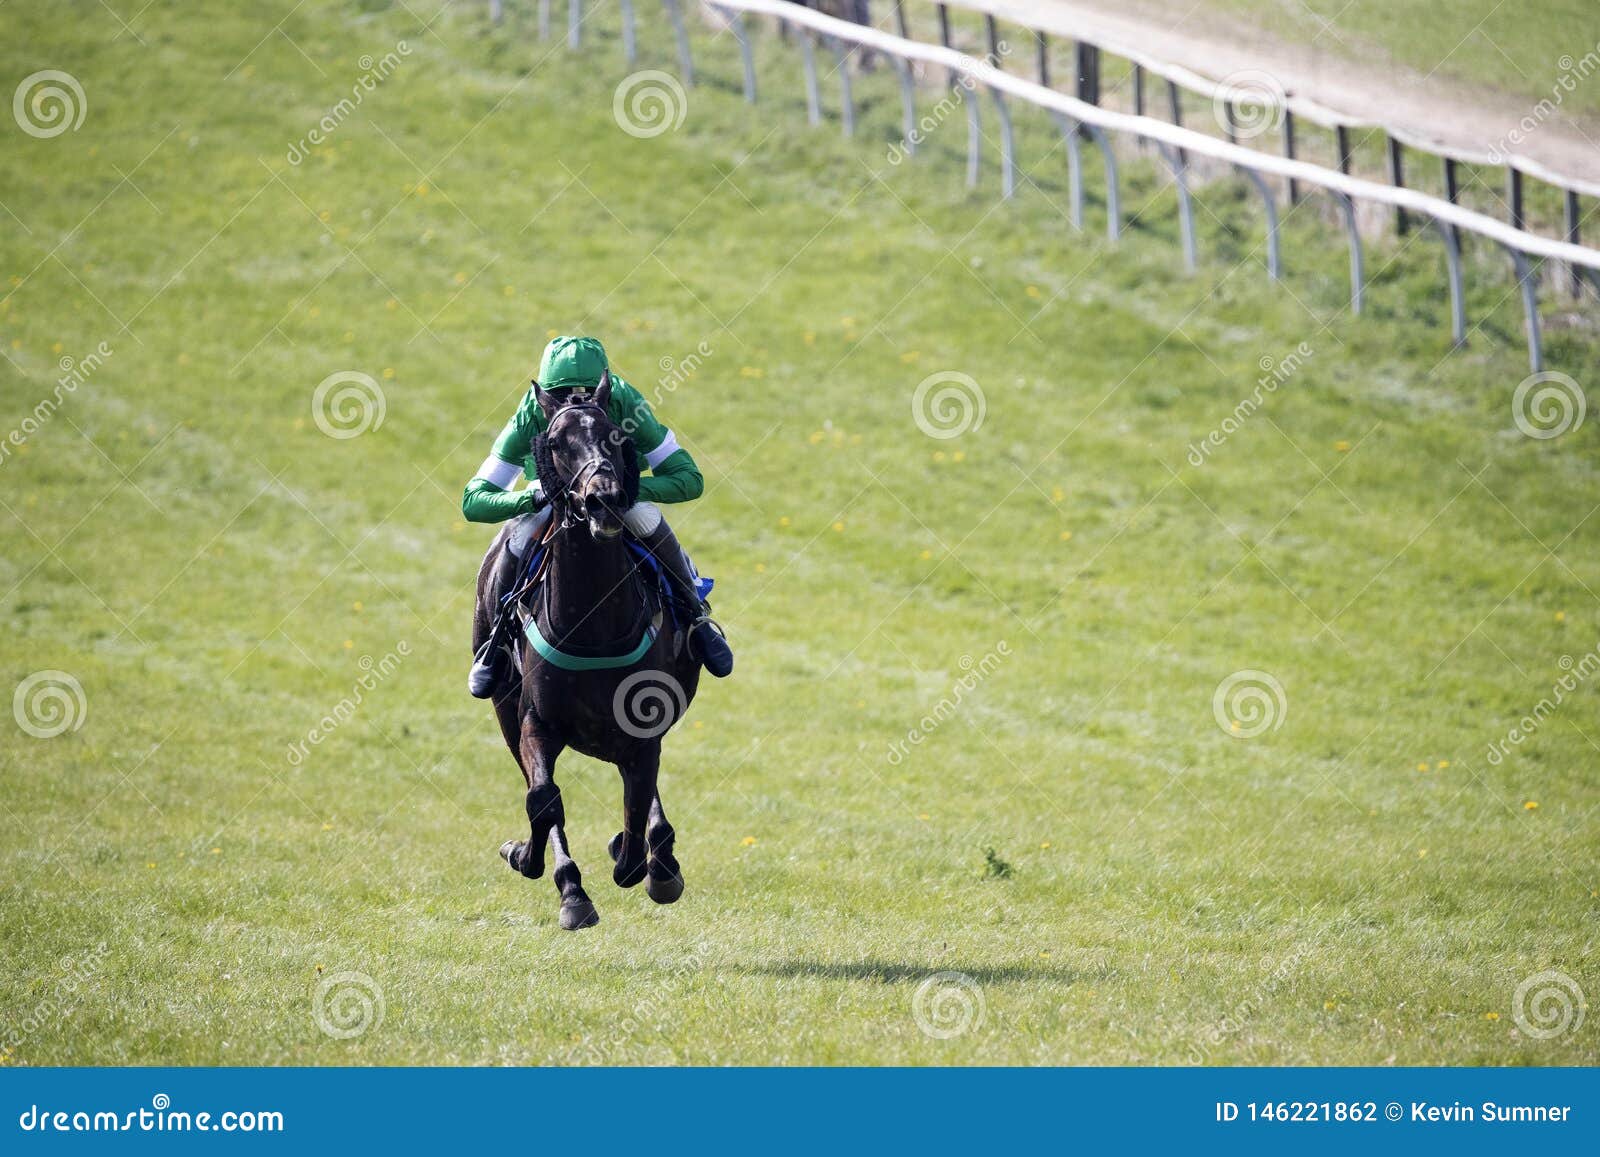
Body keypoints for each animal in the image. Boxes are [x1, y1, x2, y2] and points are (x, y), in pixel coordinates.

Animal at [474, 379, 700, 930]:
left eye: (618, 437)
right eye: (554, 442)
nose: (605, 502)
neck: (593, 626)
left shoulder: (643, 726)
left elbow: (637, 810)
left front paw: (645, 863)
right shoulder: (534, 721)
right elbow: (542, 799)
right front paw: (557, 880)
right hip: (503, 707)